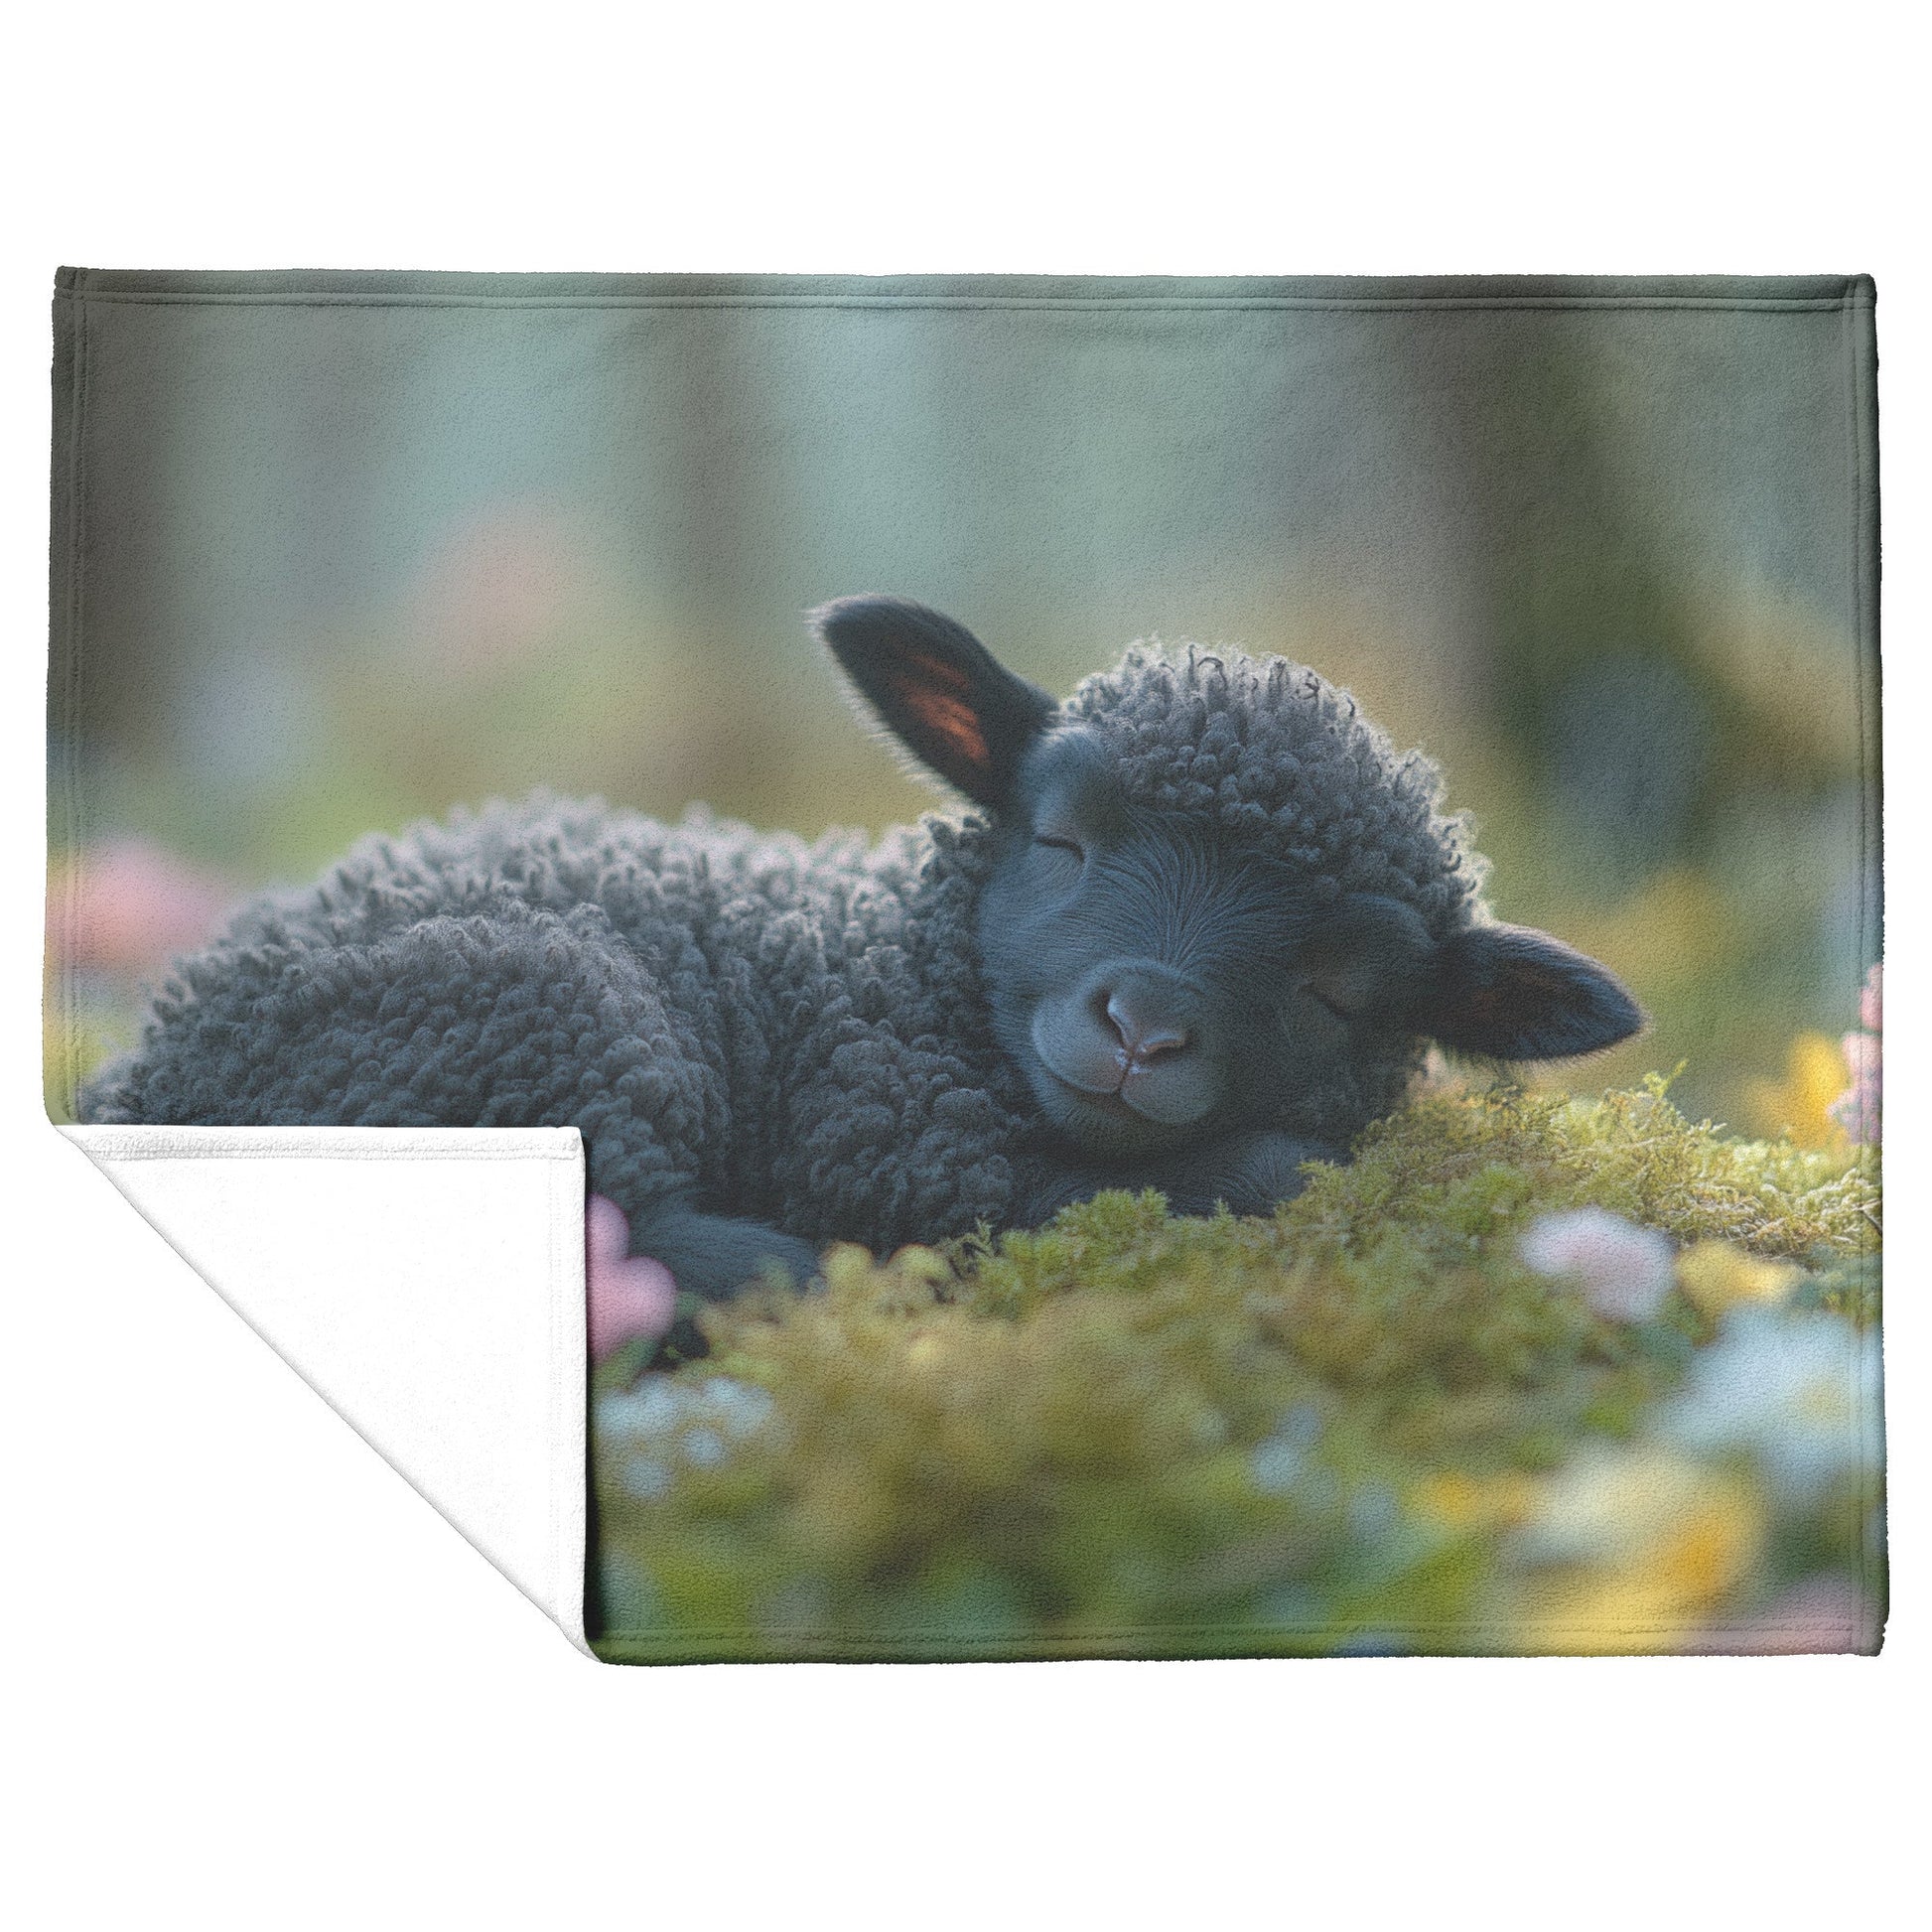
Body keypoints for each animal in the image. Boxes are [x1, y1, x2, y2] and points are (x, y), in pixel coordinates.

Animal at [82, 595, 1642, 1301]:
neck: (887, 958)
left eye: (1339, 988)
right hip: (531, 1010)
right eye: (1060, 839)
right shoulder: (896, 1141)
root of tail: (141, 1074)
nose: (1140, 1027)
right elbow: (1249, 1169)